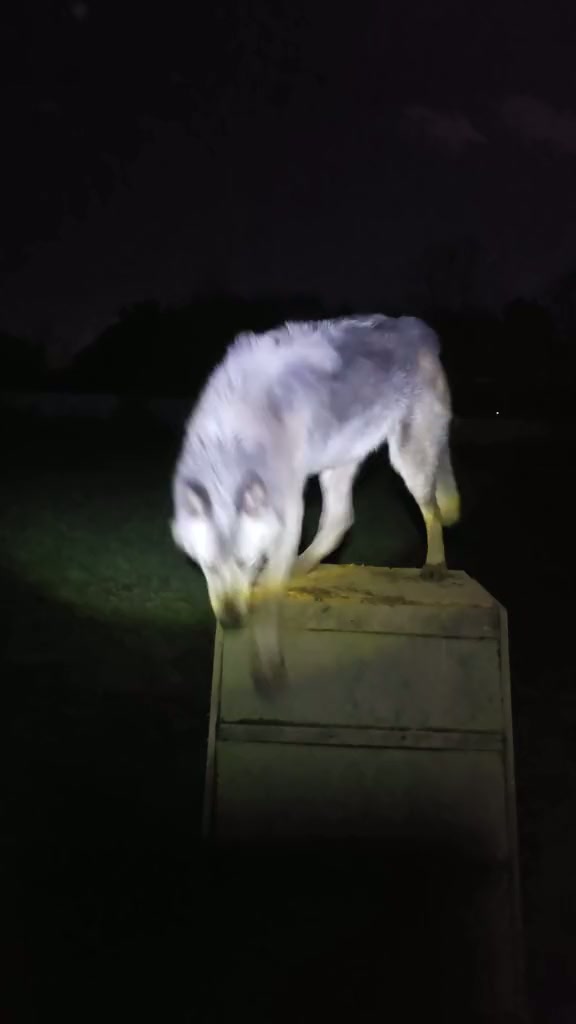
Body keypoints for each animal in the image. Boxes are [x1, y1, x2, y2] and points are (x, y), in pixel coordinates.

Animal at [171, 315, 460, 691]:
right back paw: (301, 566)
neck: (231, 439)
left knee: (431, 509)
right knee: (340, 520)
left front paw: (268, 667)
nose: (232, 622)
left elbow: (267, 600)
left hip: (408, 461)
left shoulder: (288, 512)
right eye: (208, 565)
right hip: (336, 466)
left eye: (247, 562)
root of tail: (419, 329)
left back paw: (436, 565)